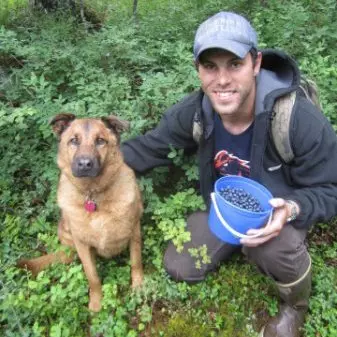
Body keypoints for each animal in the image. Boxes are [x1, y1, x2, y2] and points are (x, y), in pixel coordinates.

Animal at [17, 114, 143, 312]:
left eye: (100, 141)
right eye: (73, 141)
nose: (84, 164)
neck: (92, 194)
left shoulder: (134, 231)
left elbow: (136, 263)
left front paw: (138, 288)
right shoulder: (82, 245)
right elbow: (93, 277)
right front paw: (96, 302)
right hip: (68, 237)